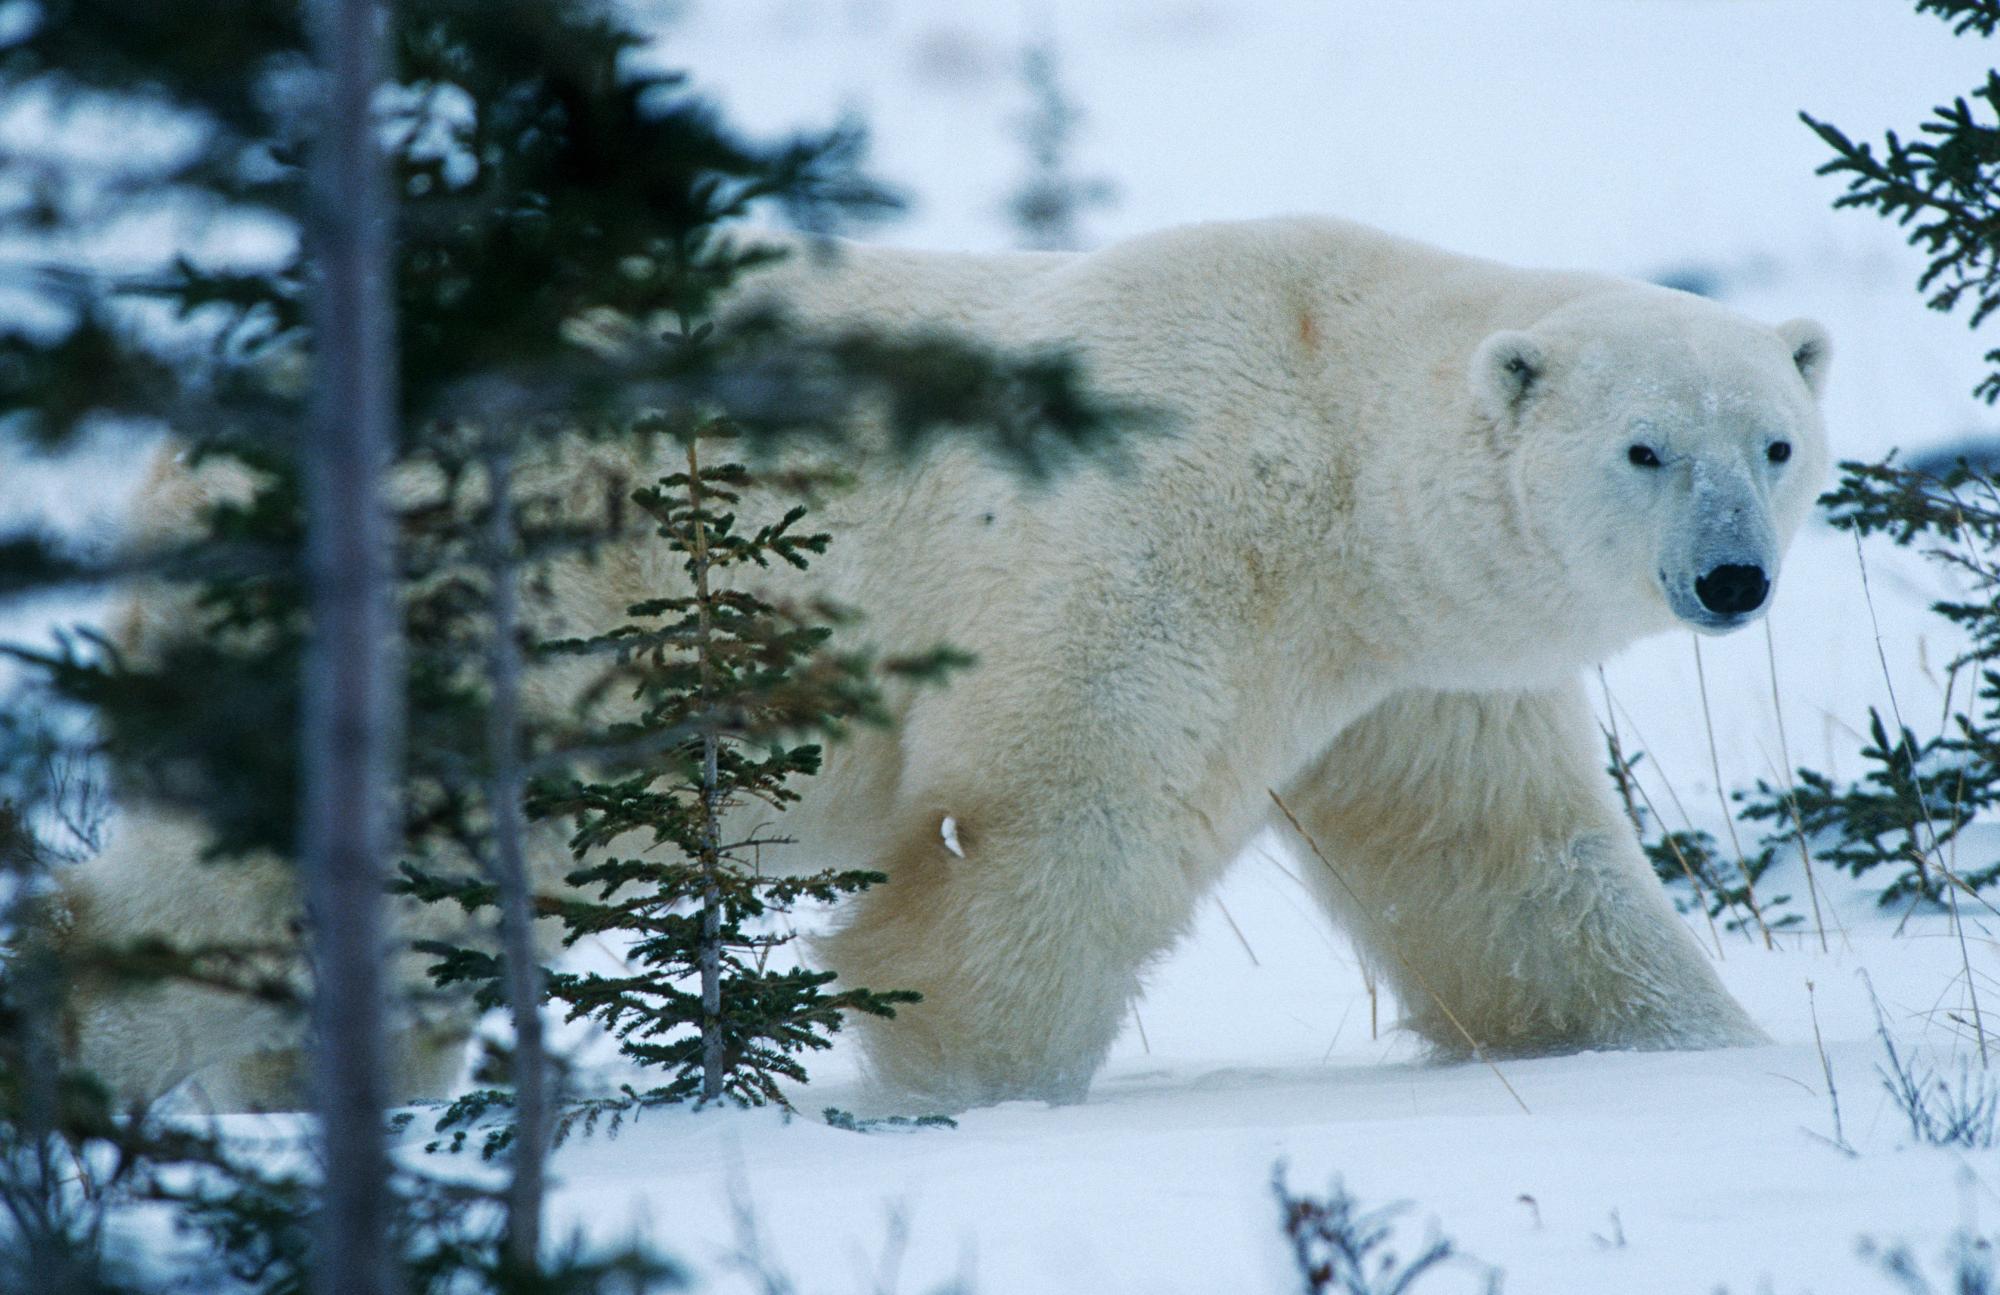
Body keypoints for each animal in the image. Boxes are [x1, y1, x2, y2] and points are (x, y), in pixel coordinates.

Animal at [54, 217, 1832, 1111]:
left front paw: (1691, 1055)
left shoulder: (1415, 668)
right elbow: (1047, 830)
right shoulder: (1157, 548)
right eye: (1644, 447)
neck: (1325, 426)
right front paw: (952, 1093)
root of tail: (183, 464)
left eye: (1777, 440)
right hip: (489, 617)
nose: (1734, 576)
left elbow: (1506, 865)